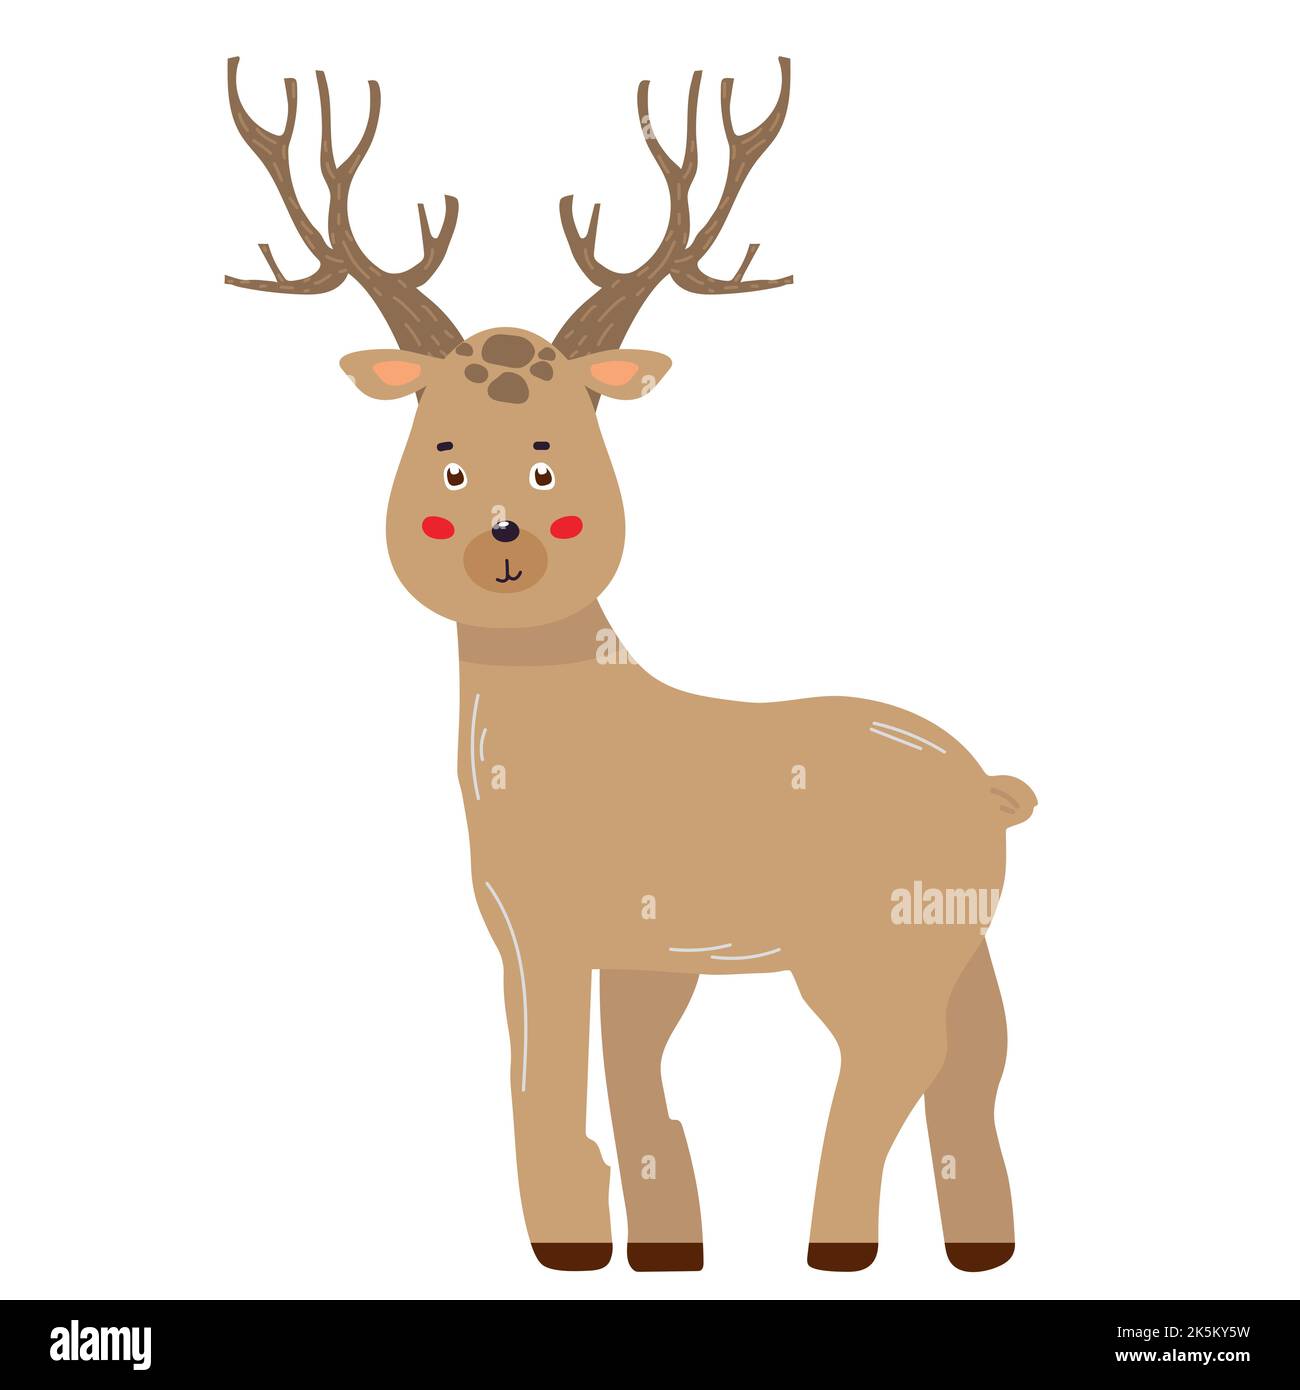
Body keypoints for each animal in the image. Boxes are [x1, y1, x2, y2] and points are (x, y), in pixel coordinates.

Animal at [225, 54, 1036, 1275]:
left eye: (554, 451)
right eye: (442, 448)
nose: (500, 538)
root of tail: (993, 790)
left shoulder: (545, 920)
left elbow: (546, 1077)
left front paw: (567, 1244)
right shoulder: (642, 946)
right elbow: (635, 1088)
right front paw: (665, 1250)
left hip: (873, 937)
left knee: (892, 1056)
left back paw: (834, 1244)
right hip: (963, 937)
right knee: (976, 1061)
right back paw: (979, 1248)